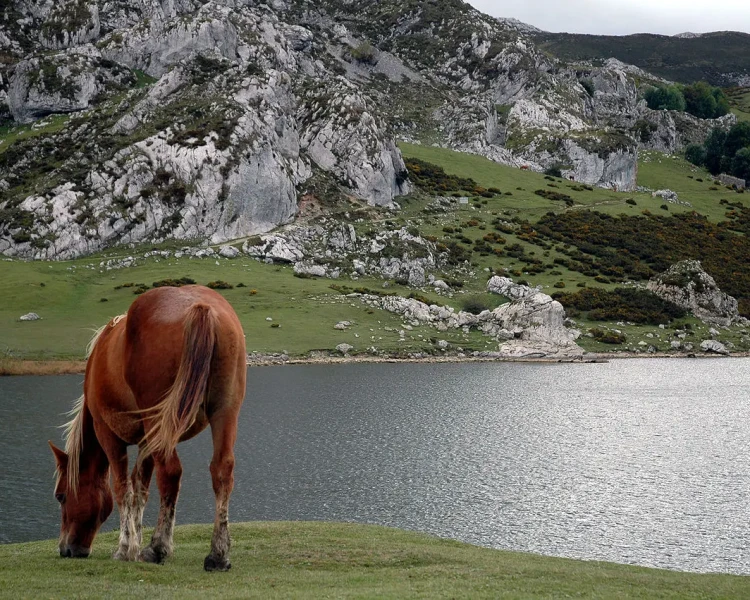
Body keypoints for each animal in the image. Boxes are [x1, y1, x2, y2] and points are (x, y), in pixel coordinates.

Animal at [48, 285, 246, 571]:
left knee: (171, 472)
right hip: (225, 411)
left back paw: (158, 548)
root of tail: (201, 308)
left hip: (160, 422)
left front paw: (125, 548)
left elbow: (123, 489)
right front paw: (136, 540)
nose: (66, 549)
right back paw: (217, 555)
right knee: (222, 470)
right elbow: (140, 488)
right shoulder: (145, 441)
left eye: (61, 496)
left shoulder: (108, 434)